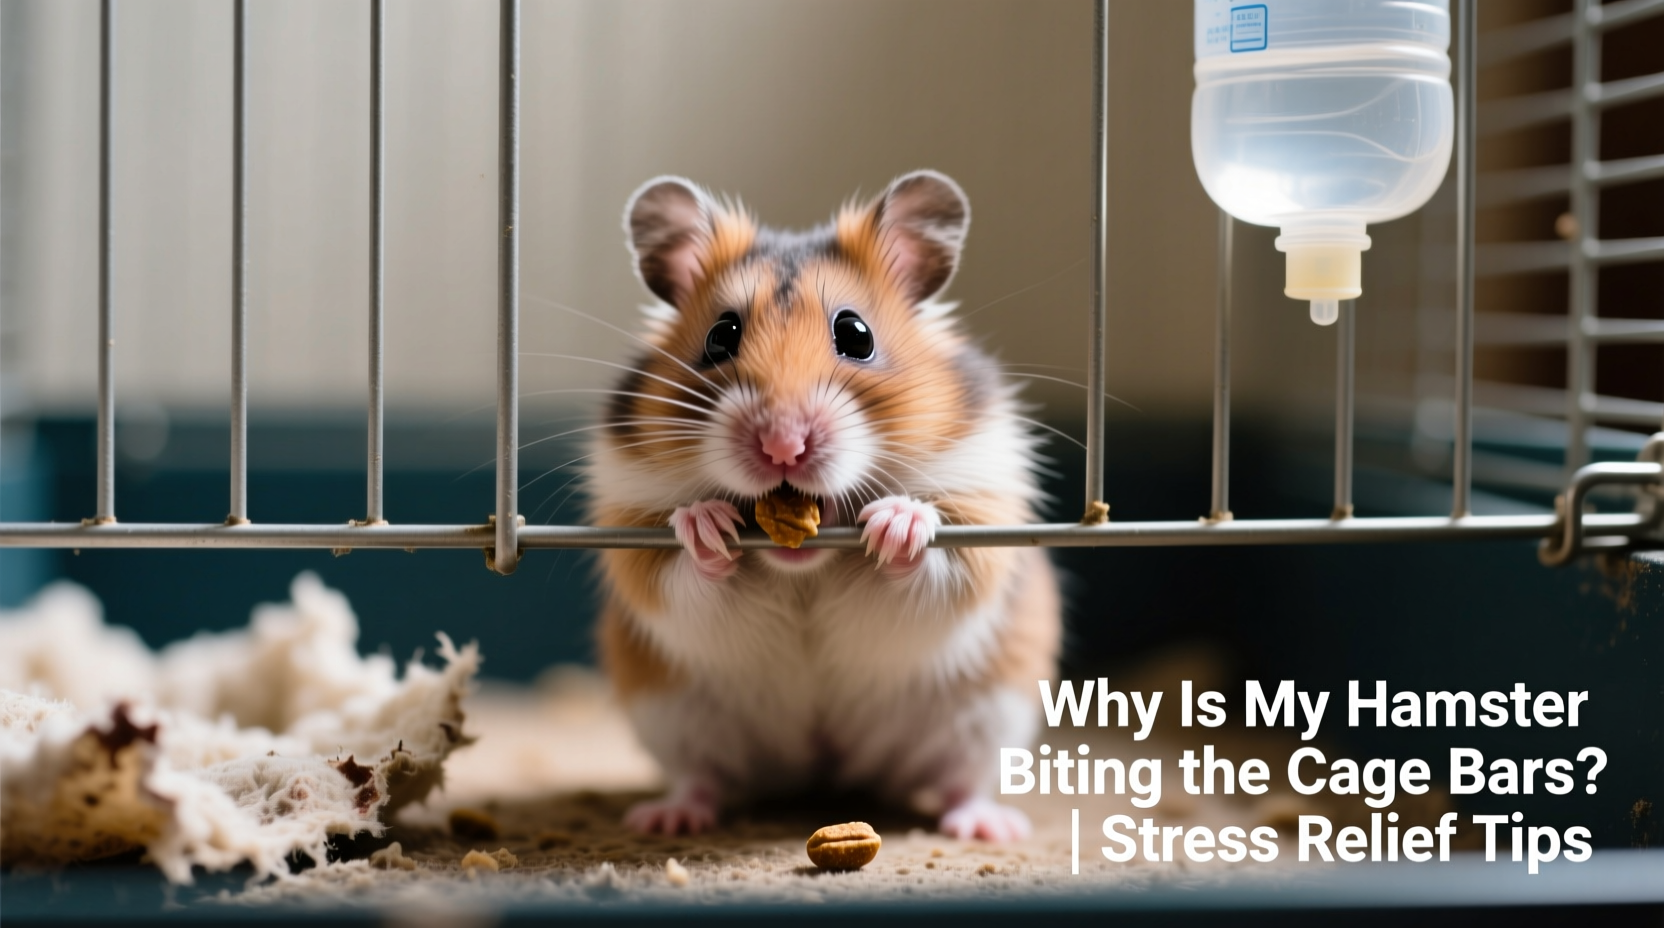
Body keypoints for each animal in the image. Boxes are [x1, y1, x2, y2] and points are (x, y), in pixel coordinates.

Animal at [585, 170, 1060, 841]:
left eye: (855, 334)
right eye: (720, 336)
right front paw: (706, 524)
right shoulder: (637, 542)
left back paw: (987, 827)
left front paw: (897, 522)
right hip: (674, 718)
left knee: (959, 779)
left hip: (987, 714)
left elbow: (938, 571)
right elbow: (681, 579)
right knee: (704, 777)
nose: (782, 444)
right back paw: (668, 819)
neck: (803, 567)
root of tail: (825, 766)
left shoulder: (981, 524)